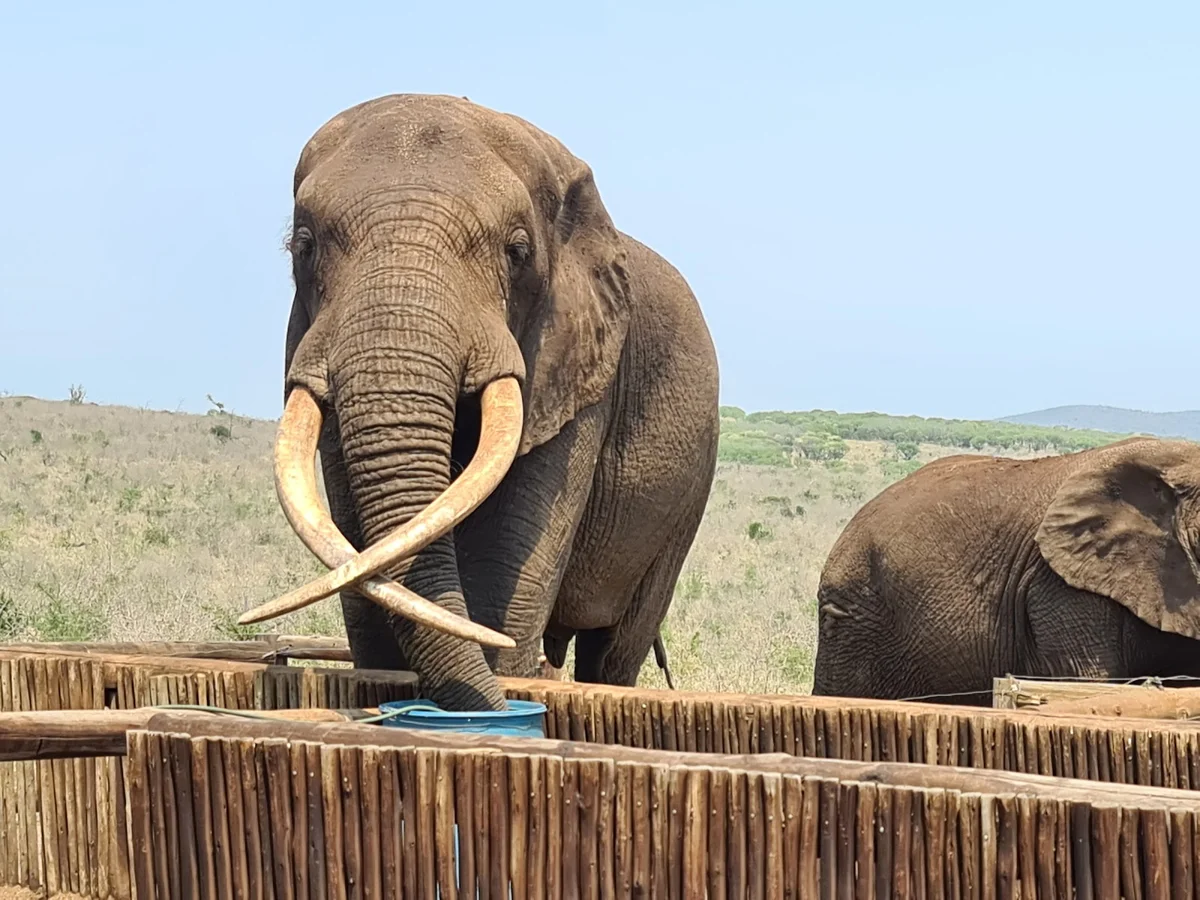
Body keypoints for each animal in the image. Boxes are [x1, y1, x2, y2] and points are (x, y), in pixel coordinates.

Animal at [238, 94, 720, 712]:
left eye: (517, 252)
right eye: (302, 247)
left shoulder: (582, 374)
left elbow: (500, 567)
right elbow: (360, 562)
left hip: (685, 496)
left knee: (616, 647)